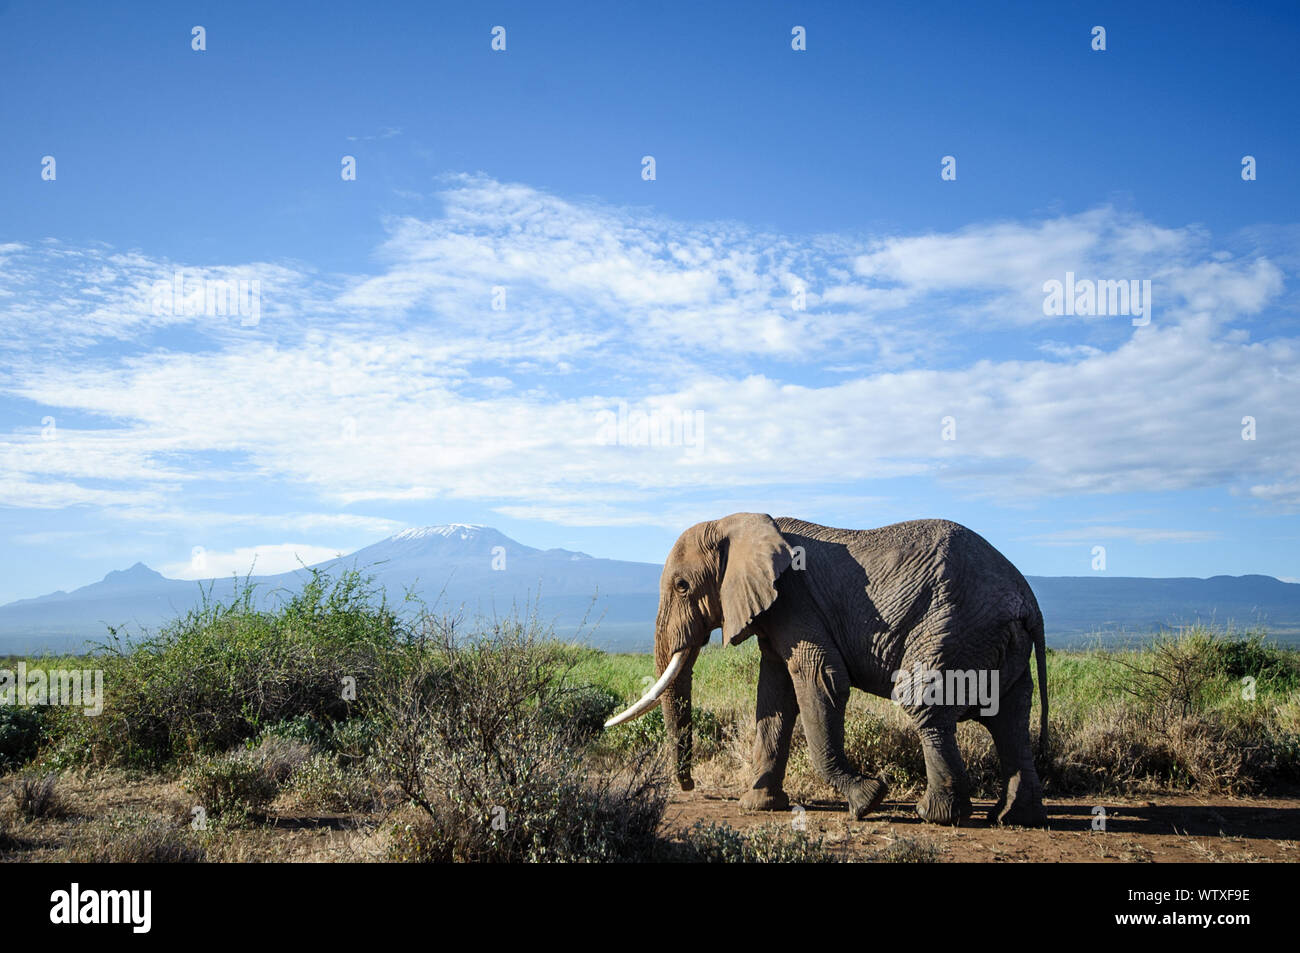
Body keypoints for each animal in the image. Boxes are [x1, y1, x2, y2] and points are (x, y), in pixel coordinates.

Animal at [605, 513, 1048, 826]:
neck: (735, 521)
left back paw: (936, 816)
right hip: (995, 639)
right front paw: (759, 806)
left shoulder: (794, 599)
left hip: (952, 625)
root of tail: (1028, 600)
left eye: (682, 587)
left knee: (924, 703)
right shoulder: (775, 612)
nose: (690, 786)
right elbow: (775, 694)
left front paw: (867, 800)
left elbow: (820, 678)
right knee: (1009, 717)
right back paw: (1012, 817)